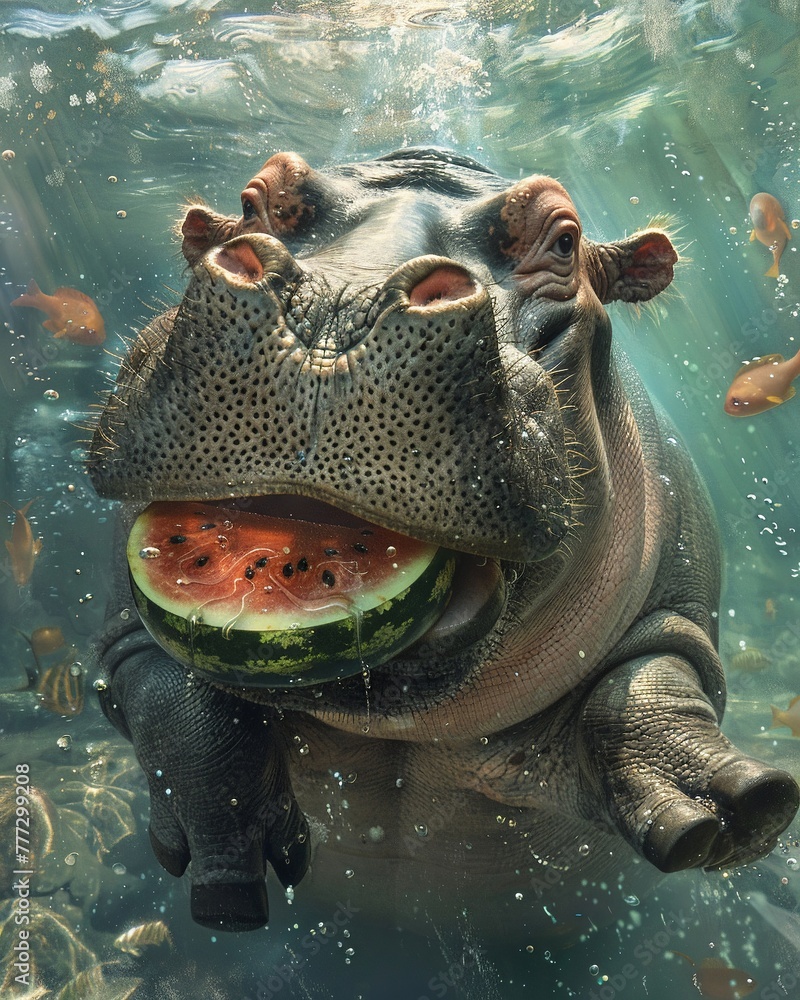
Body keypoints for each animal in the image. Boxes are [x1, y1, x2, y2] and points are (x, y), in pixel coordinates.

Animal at [88, 148, 799, 944]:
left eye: (564, 240)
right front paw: (226, 865)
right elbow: (172, 690)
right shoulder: (125, 632)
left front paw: (725, 807)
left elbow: (652, 673)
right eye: (253, 200)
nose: (338, 299)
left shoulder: (679, 594)